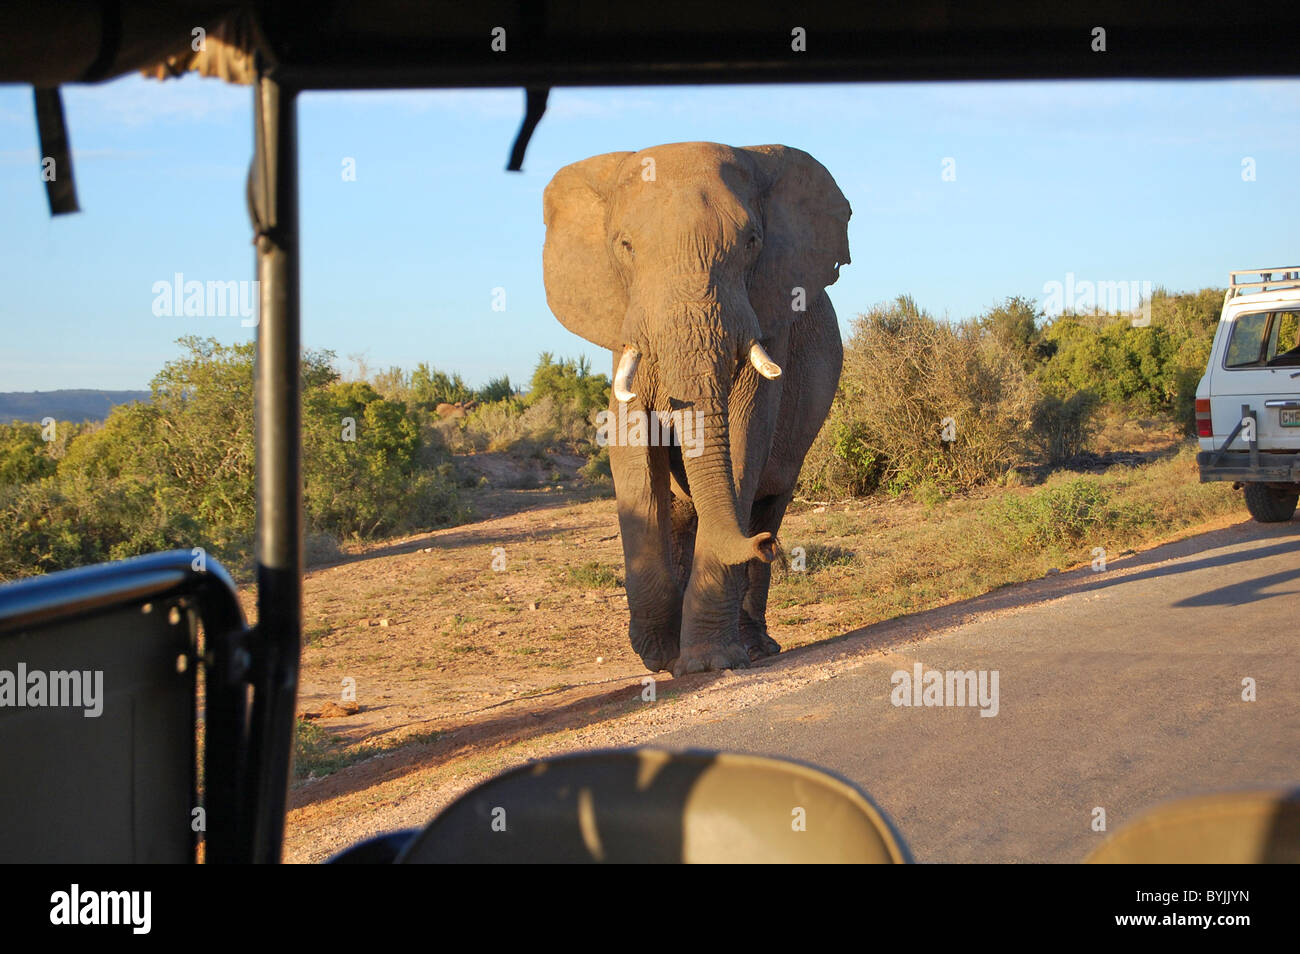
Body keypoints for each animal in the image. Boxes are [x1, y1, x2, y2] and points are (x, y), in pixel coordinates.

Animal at [542, 142, 850, 676]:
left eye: (752, 242)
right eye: (626, 246)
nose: (767, 548)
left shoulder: (768, 316)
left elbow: (745, 436)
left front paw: (708, 663)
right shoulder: (624, 324)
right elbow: (630, 446)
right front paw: (660, 656)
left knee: (769, 499)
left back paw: (754, 645)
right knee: (685, 512)